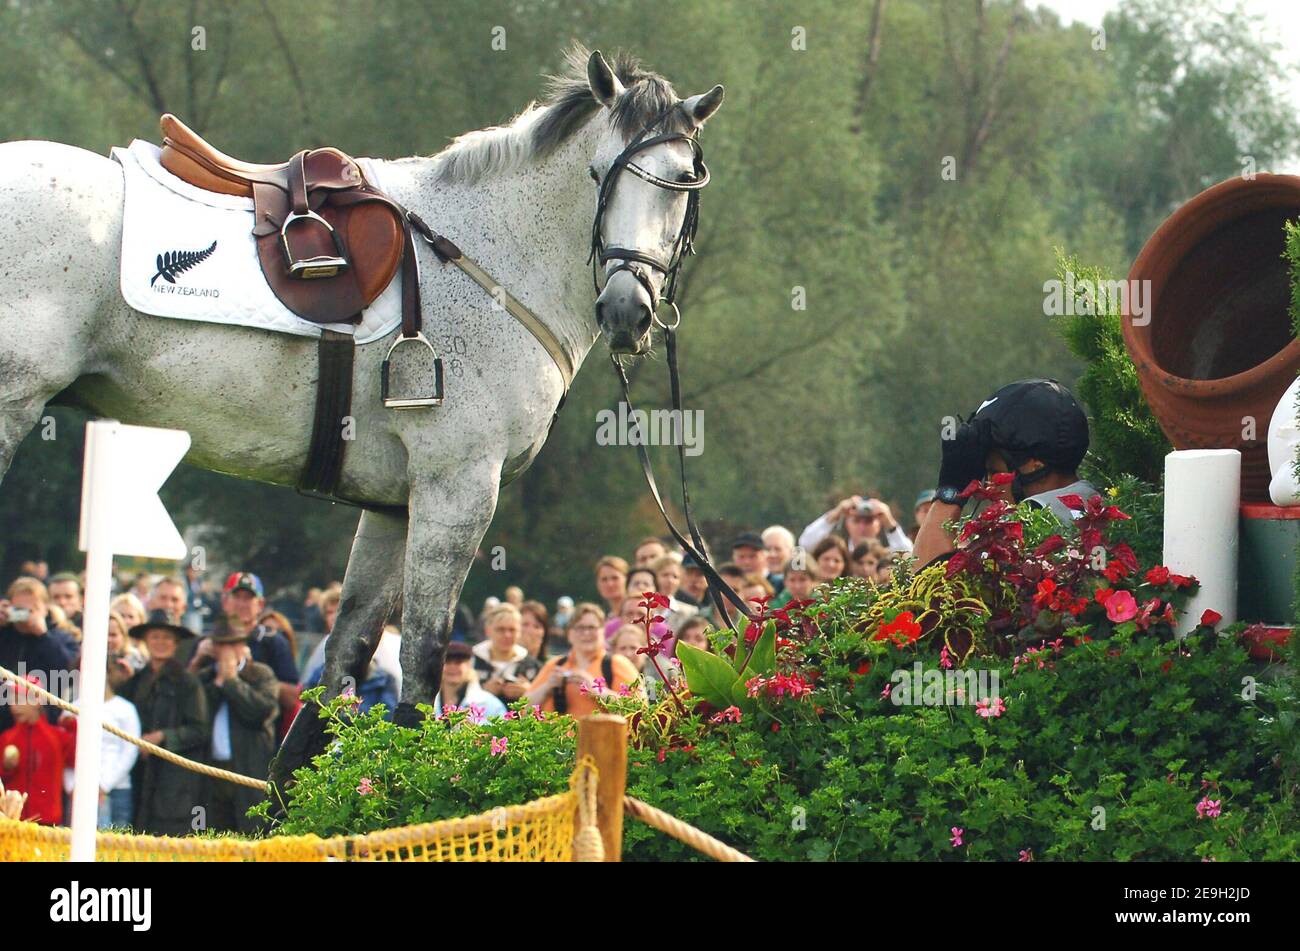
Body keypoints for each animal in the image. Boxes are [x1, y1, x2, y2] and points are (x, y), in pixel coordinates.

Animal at [0, 46, 724, 788]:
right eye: (599, 174)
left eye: (681, 185)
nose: (627, 310)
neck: (485, 258)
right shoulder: (455, 488)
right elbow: (422, 660)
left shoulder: (391, 505)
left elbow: (346, 656)